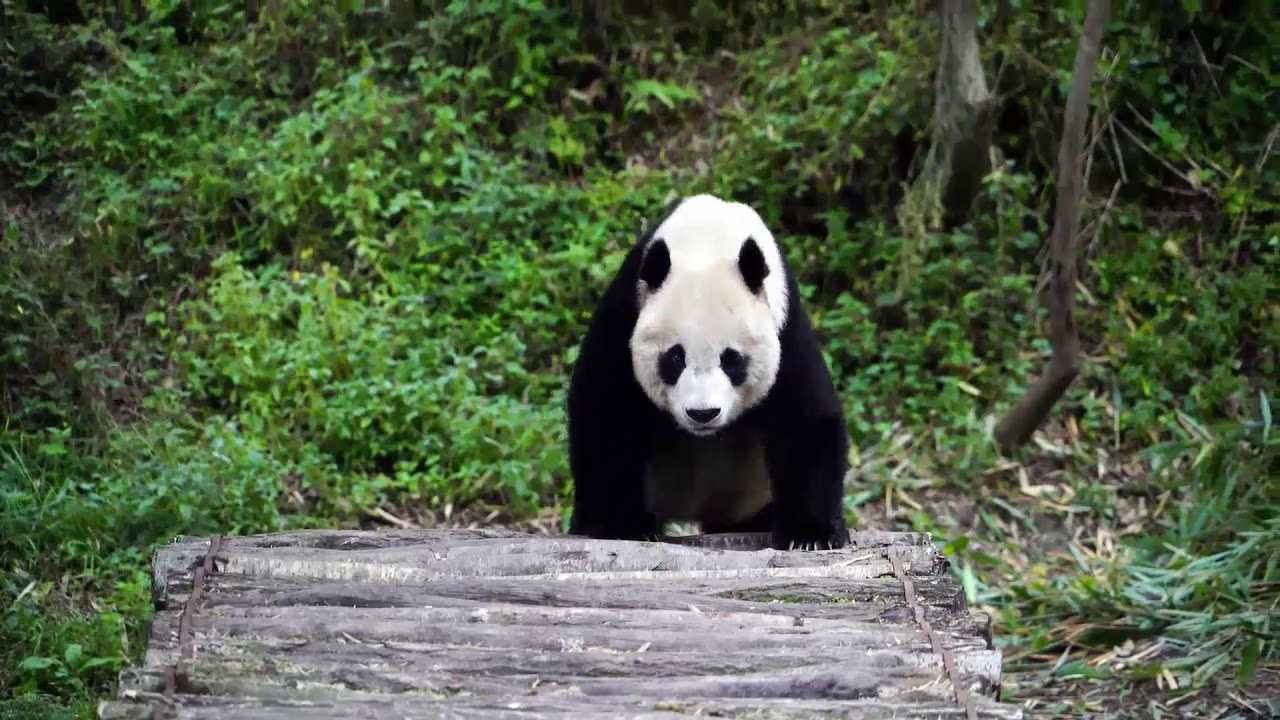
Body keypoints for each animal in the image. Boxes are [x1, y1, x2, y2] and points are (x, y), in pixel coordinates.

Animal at [566, 193, 850, 551]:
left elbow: (804, 419)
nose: (703, 414)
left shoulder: (786, 326)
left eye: (732, 360)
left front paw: (810, 534)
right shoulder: (626, 312)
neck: (708, 242)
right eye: (675, 358)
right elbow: (606, 411)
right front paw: (623, 524)